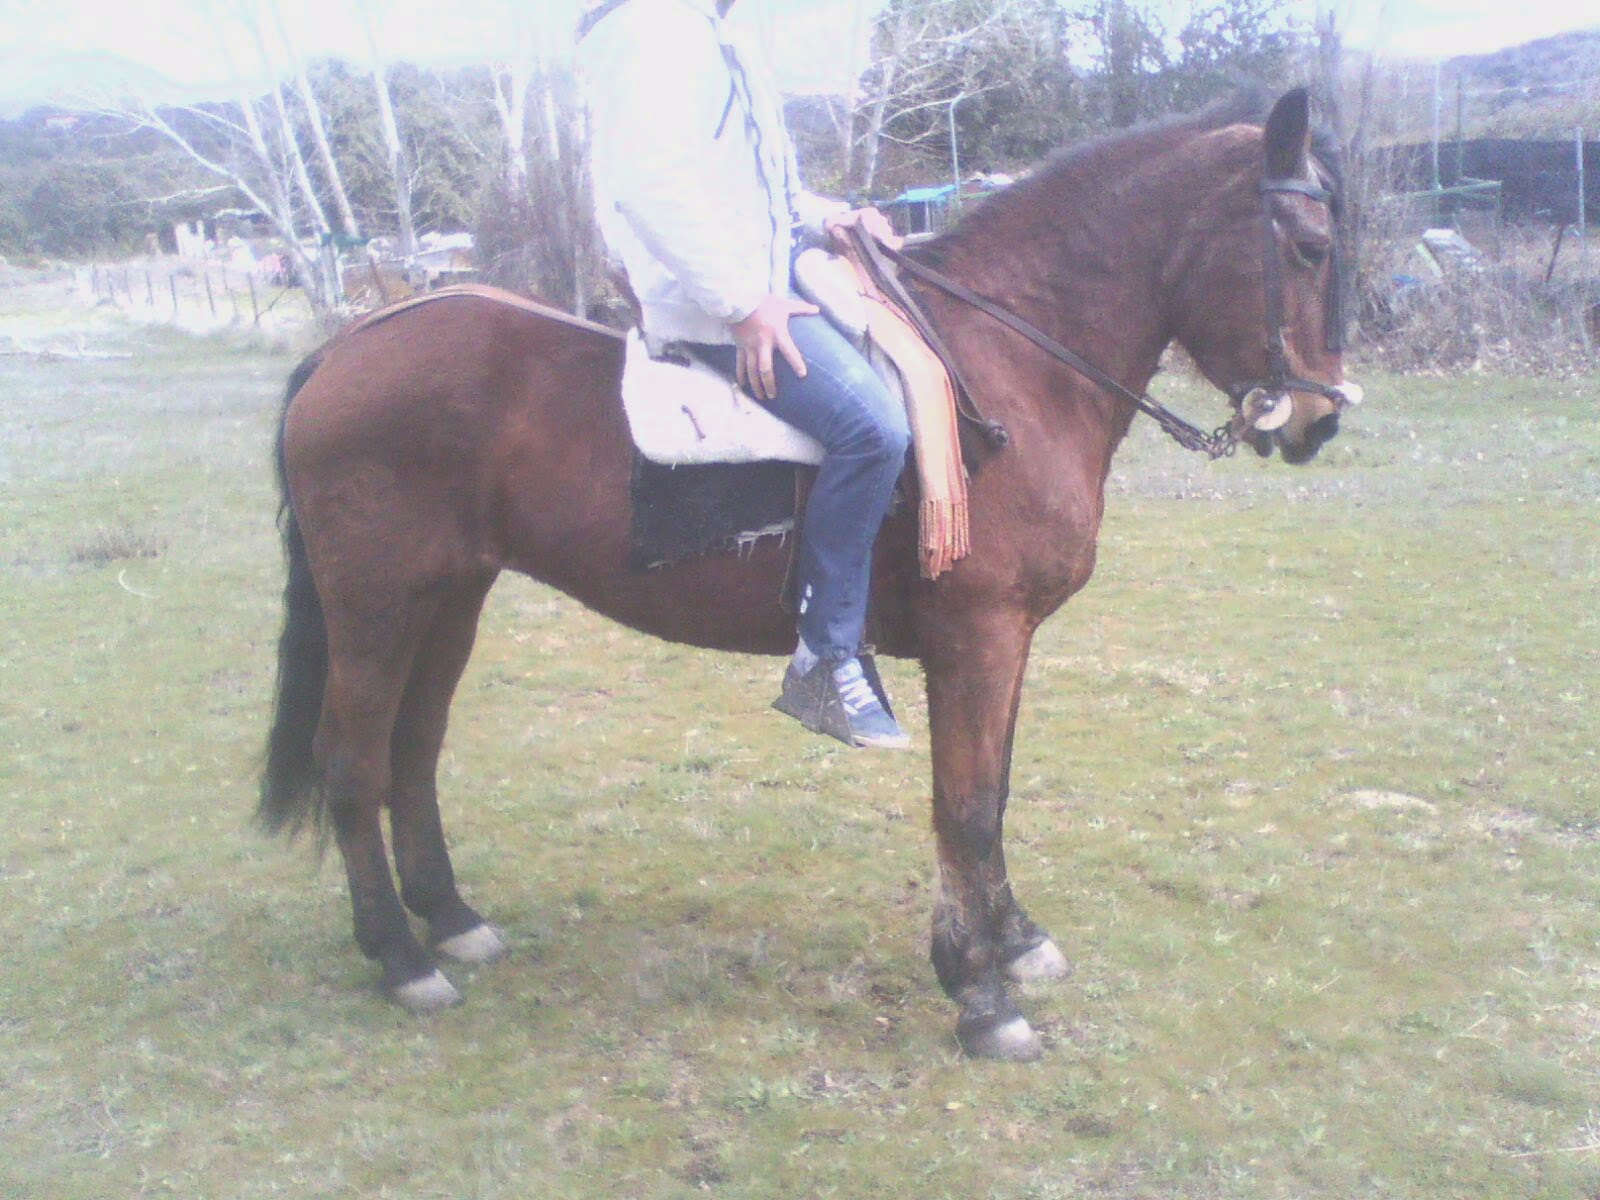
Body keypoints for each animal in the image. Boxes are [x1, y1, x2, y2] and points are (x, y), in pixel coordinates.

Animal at [261, 88, 1358, 1061]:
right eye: (1307, 247)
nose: (1319, 420)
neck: (1007, 364)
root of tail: (348, 350)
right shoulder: (977, 638)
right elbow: (965, 807)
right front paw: (978, 993)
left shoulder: (1008, 643)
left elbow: (995, 793)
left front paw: (1014, 943)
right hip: (376, 607)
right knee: (354, 765)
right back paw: (401, 958)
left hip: (448, 600)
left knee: (413, 754)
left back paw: (450, 919)